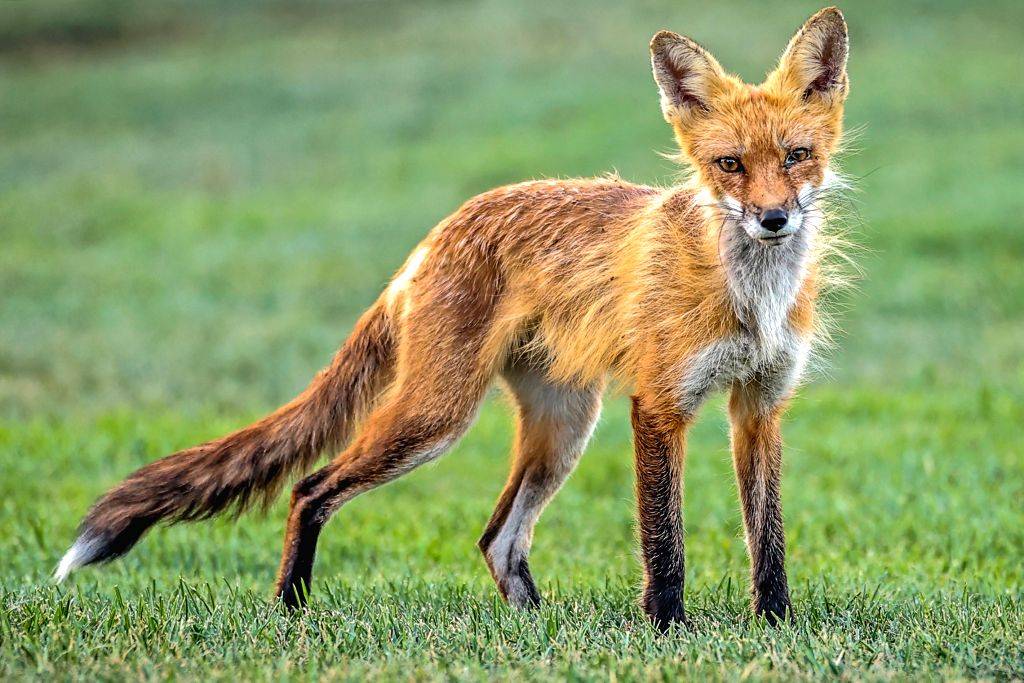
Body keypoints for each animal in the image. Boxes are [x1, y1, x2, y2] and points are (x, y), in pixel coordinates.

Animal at [55, 8, 852, 629]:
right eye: (730, 165)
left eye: (796, 155)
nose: (774, 219)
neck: (750, 298)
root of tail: (435, 234)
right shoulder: (658, 403)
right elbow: (665, 542)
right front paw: (667, 633)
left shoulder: (760, 405)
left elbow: (768, 541)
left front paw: (775, 629)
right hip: (436, 416)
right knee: (310, 488)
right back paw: (290, 610)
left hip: (563, 429)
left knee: (497, 539)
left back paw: (537, 631)